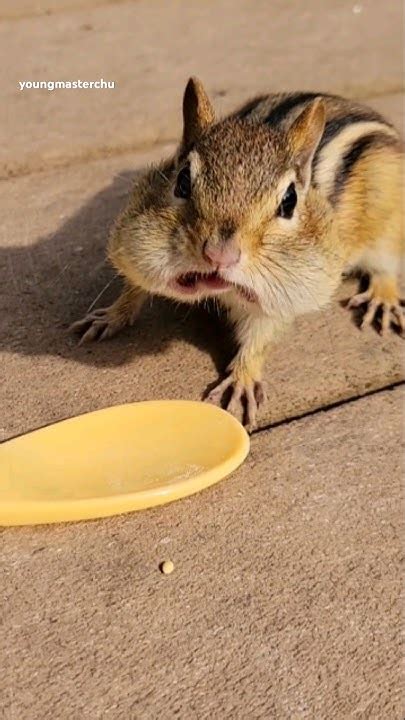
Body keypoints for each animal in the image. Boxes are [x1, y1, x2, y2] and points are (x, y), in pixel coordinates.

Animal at [71, 77, 404, 427]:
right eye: (182, 180)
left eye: (289, 201)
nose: (219, 255)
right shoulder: (138, 243)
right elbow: (135, 286)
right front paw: (110, 316)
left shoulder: (288, 292)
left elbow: (261, 337)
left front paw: (243, 380)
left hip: (389, 229)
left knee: (386, 266)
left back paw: (382, 298)